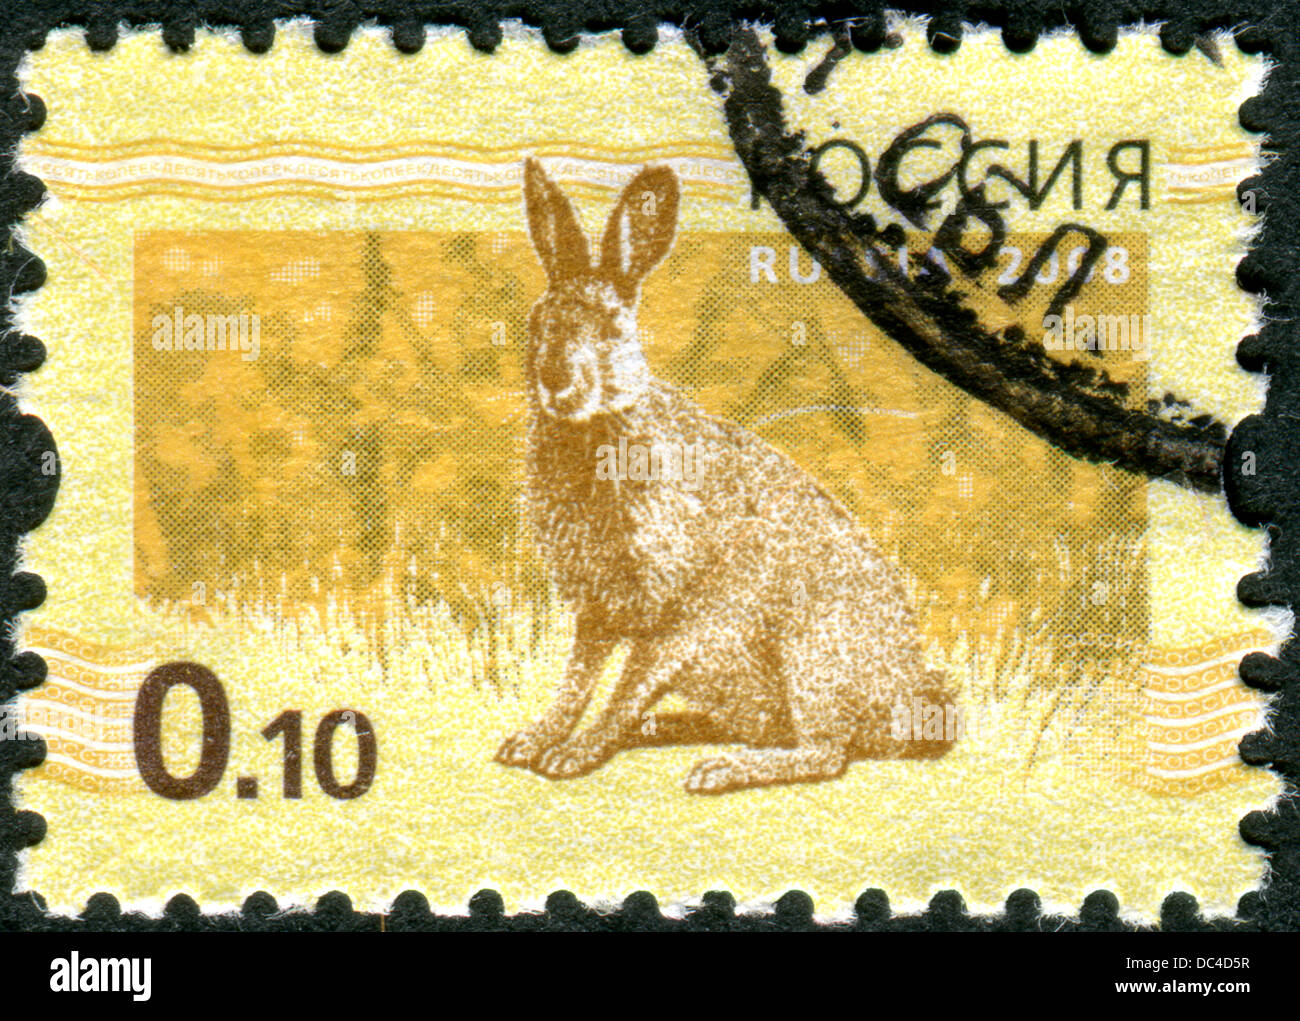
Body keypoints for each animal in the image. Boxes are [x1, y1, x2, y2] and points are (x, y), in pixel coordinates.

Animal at [494, 158, 953, 794]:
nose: (556, 382)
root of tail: (908, 707)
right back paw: (668, 731)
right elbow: (578, 682)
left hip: (810, 657)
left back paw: (721, 769)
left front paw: (573, 755)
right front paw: (533, 741)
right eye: (538, 323)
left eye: (612, 328)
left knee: (825, 752)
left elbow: (624, 685)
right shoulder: (598, 605)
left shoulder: (679, 606)